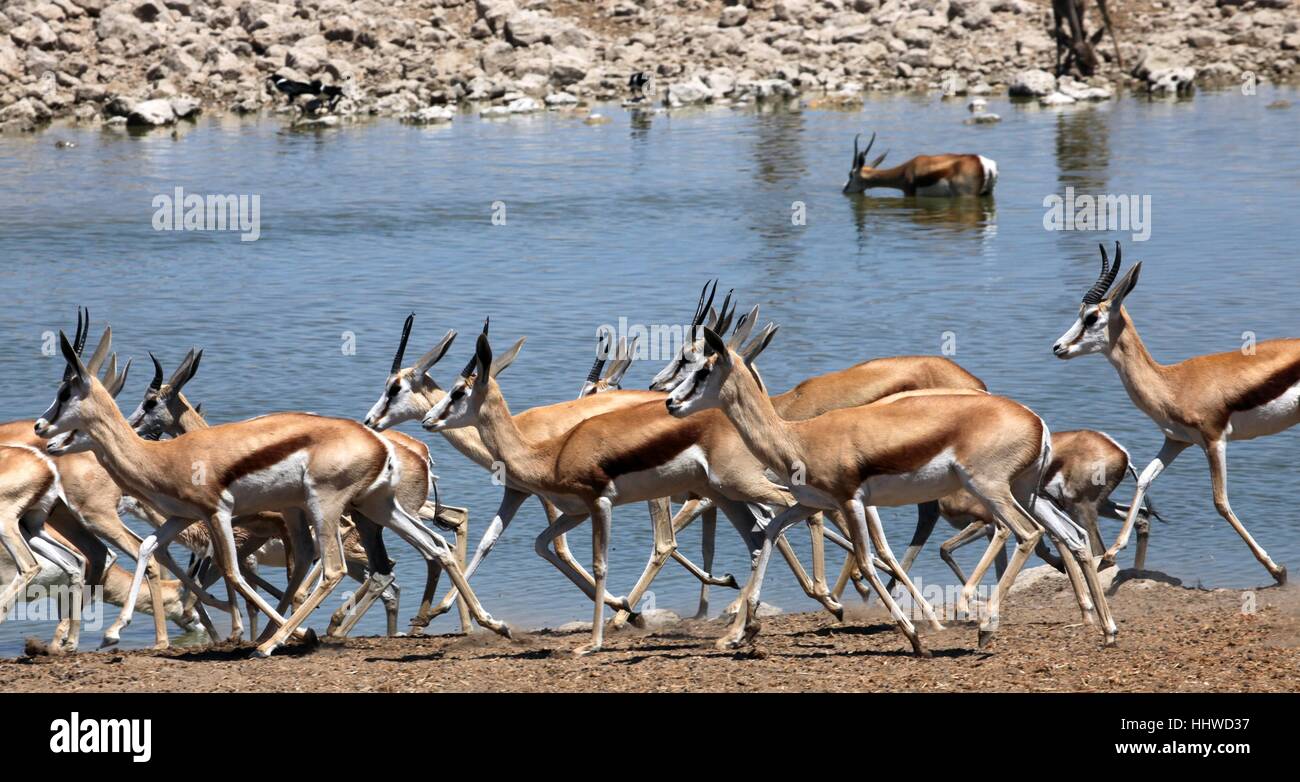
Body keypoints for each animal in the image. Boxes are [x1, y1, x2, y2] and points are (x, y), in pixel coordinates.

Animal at [34, 328, 509, 657]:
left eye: (65, 392)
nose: (43, 431)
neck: (167, 455)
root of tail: (383, 443)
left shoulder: (218, 516)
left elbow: (235, 575)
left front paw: (289, 633)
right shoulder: (183, 518)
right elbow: (150, 548)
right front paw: (114, 632)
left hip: (327, 509)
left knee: (341, 570)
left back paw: (275, 643)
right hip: (377, 508)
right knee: (433, 548)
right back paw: (488, 623)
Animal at [664, 325, 1118, 652]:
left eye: (702, 369)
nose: (670, 403)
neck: (798, 437)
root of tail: (1036, 420)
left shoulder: (849, 501)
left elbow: (867, 562)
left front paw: (915, 638)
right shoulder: (809, 504)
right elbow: (770, 534)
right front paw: (744, 630)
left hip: (993, 490)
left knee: (1027, 533)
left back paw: (986, 628)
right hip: (1027, 493)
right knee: (1073, 536)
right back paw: (1108, 629)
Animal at [841, 132, 998, 197]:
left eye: (850, 175)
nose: (844, 190)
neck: (905, 170)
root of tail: (984, 163)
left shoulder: (909, 193)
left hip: (966, 196)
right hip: (988, 194)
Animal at [1052, 243, 1297, 585]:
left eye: (1091, 317)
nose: (1058, 347)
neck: (1172, 383)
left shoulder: (1214, 440)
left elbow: (1220, 502)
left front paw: (1276, 569)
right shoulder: (1176, 441)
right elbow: (1143, 480)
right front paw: (1112, 554)